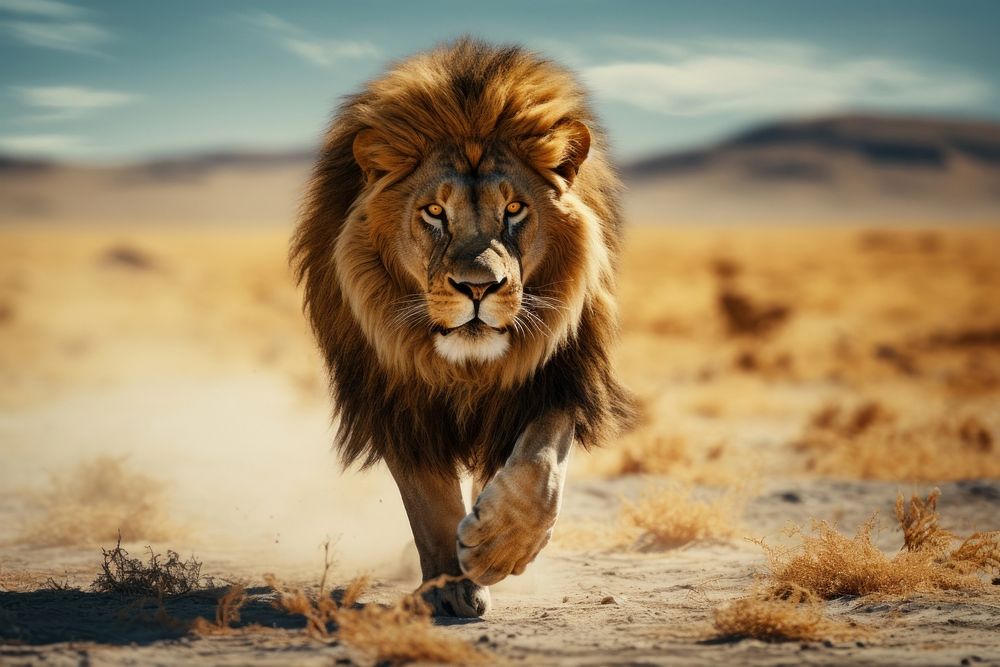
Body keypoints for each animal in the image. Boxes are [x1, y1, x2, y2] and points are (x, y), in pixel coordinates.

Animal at [291, 38, 637, 617]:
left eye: (515, 208)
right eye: (434, 211)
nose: (479, 288)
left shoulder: (557, 375)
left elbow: (539, 467)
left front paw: (497, 547)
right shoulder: (396, 398)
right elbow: (428, 503)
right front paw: (451, 583)